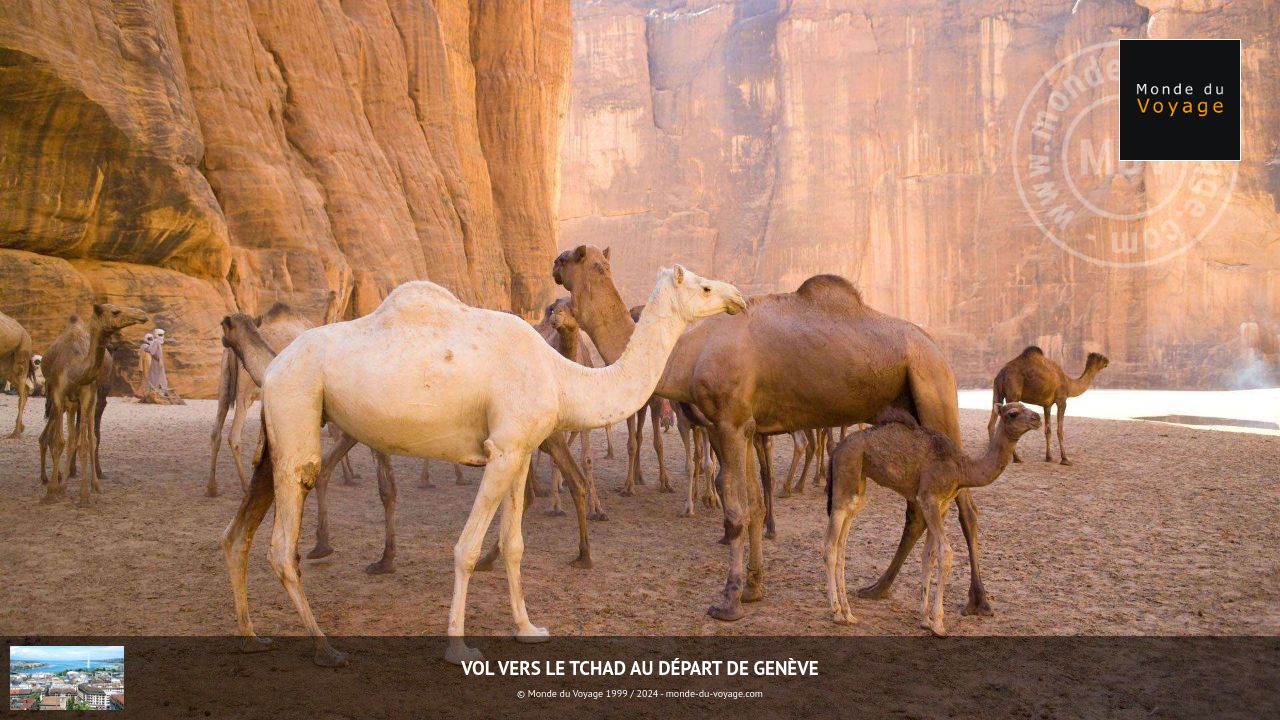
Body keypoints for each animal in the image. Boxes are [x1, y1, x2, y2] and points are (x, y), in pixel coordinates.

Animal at [0, 308, 33, 438]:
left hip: (21, 359)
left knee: (23, 392)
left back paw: (16, 432)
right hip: (7, 369)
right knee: (26, 390)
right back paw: (20, 428)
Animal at [39, 304, 146, 502]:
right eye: (115, 311)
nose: (142, 315)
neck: (74, 369)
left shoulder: (89, 395)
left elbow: (86, 441)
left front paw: (84, 494)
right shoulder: (58, 394)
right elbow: (59, 442)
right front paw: (52, 491)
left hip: (81, 402)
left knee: (84, 438)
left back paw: (84, 483)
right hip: (66, 402)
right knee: (61, 437)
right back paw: (58, 481)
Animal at [217, 313, 399, 571]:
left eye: (224, 326)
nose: (222, 342)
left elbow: (386, 489)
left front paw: (386, 560)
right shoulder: (348, 432)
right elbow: (324, 473)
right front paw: (322, 546)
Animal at [555, 243, 983, 620]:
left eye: (576, 257)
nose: (555, 264)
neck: (688, 354)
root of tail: (938, 351)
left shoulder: (727, 422)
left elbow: (734, 510)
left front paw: (728, 602)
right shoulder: (744, 427)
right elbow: (756, 507)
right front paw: (753, 588)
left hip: (935, 394)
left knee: (965, 504)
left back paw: (977, 601)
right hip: (909, 415)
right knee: (917, 509)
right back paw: (878, 587)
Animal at [824, 404, 1044, 632]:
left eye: (1024, 406)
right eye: (1013, 413)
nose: (1037, 418)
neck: (961, 468)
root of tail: (837, 450)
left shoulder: (942, 506)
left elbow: (928, 556)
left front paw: (925, 619)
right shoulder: (928, 498)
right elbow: (945, 553)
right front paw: (938, 623)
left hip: (857, 485)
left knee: (842, 544)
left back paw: (849, 613)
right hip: (845, 476)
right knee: (830, 545)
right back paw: (837, 613)